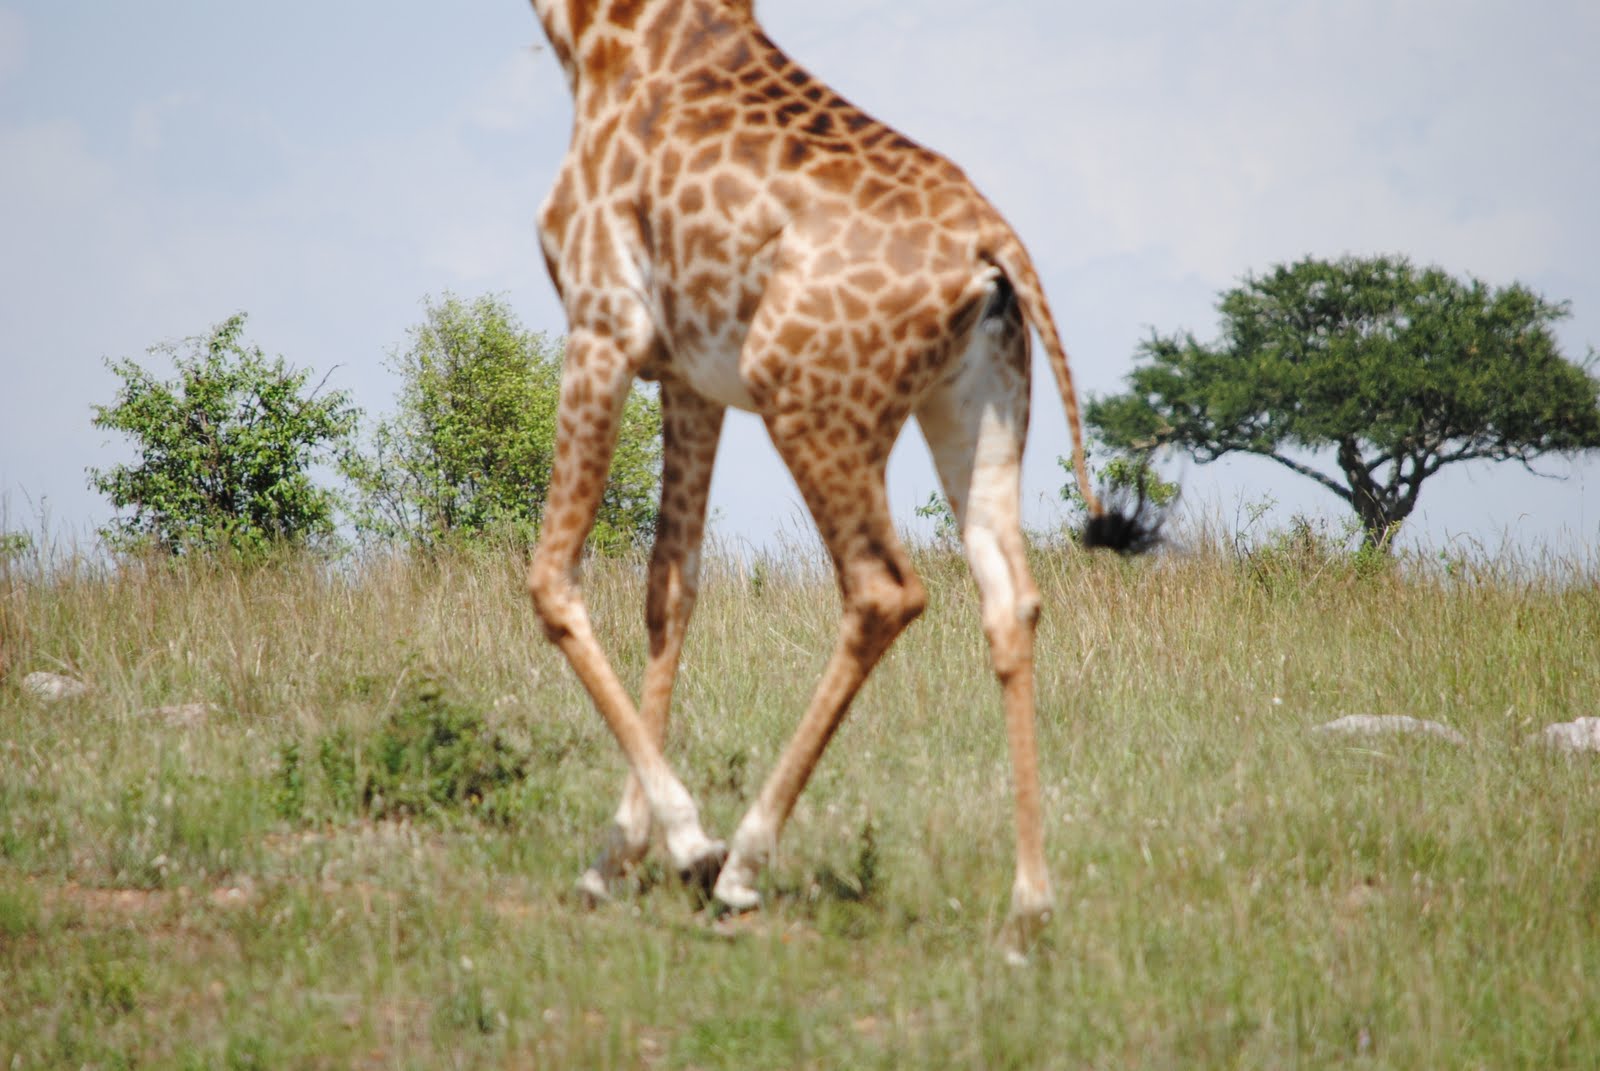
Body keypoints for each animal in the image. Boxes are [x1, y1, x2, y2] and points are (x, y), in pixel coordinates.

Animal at [524, 0, 1154, 956]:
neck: (598, 40)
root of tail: (995, 246)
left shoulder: (601, 325)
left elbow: (553, 579)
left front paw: (686, 841)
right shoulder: (687, 373)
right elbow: (671, 587)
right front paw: (617, 856)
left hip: (807, 397)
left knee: (884, 588)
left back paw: (744, 863)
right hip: (977, 409)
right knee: (1010, 597)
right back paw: (1026, 908)